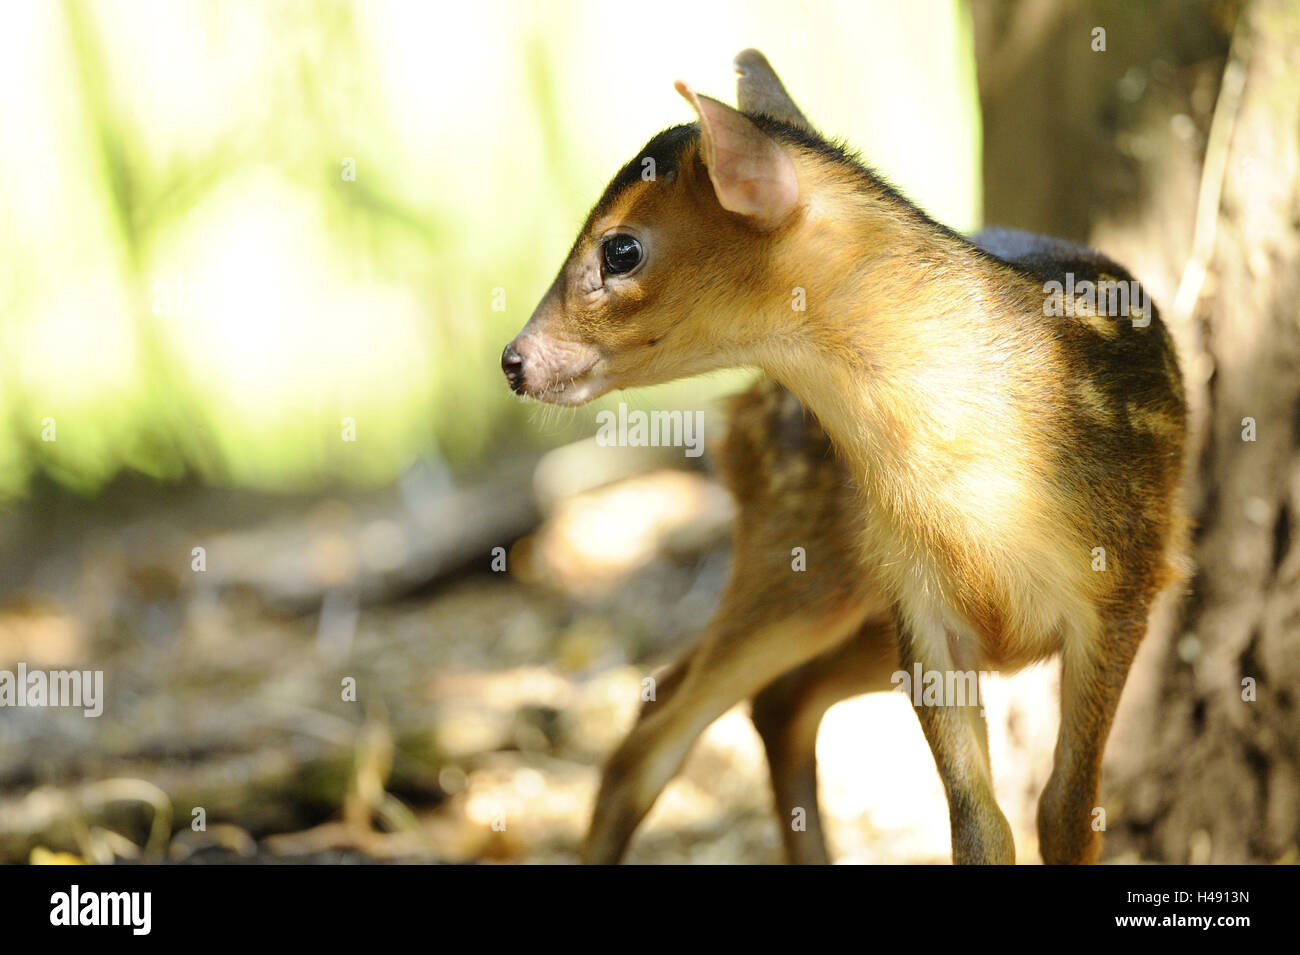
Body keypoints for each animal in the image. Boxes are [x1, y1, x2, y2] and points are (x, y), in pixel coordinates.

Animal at [502, 49, 1187, 865]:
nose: (514, 360)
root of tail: (738, 419)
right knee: (660, 730)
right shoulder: (920, 606)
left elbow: (1064, 813)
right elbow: (980, 824)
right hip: (803, 560)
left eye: (621, 248)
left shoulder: (1119, 591)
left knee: (766, 702)